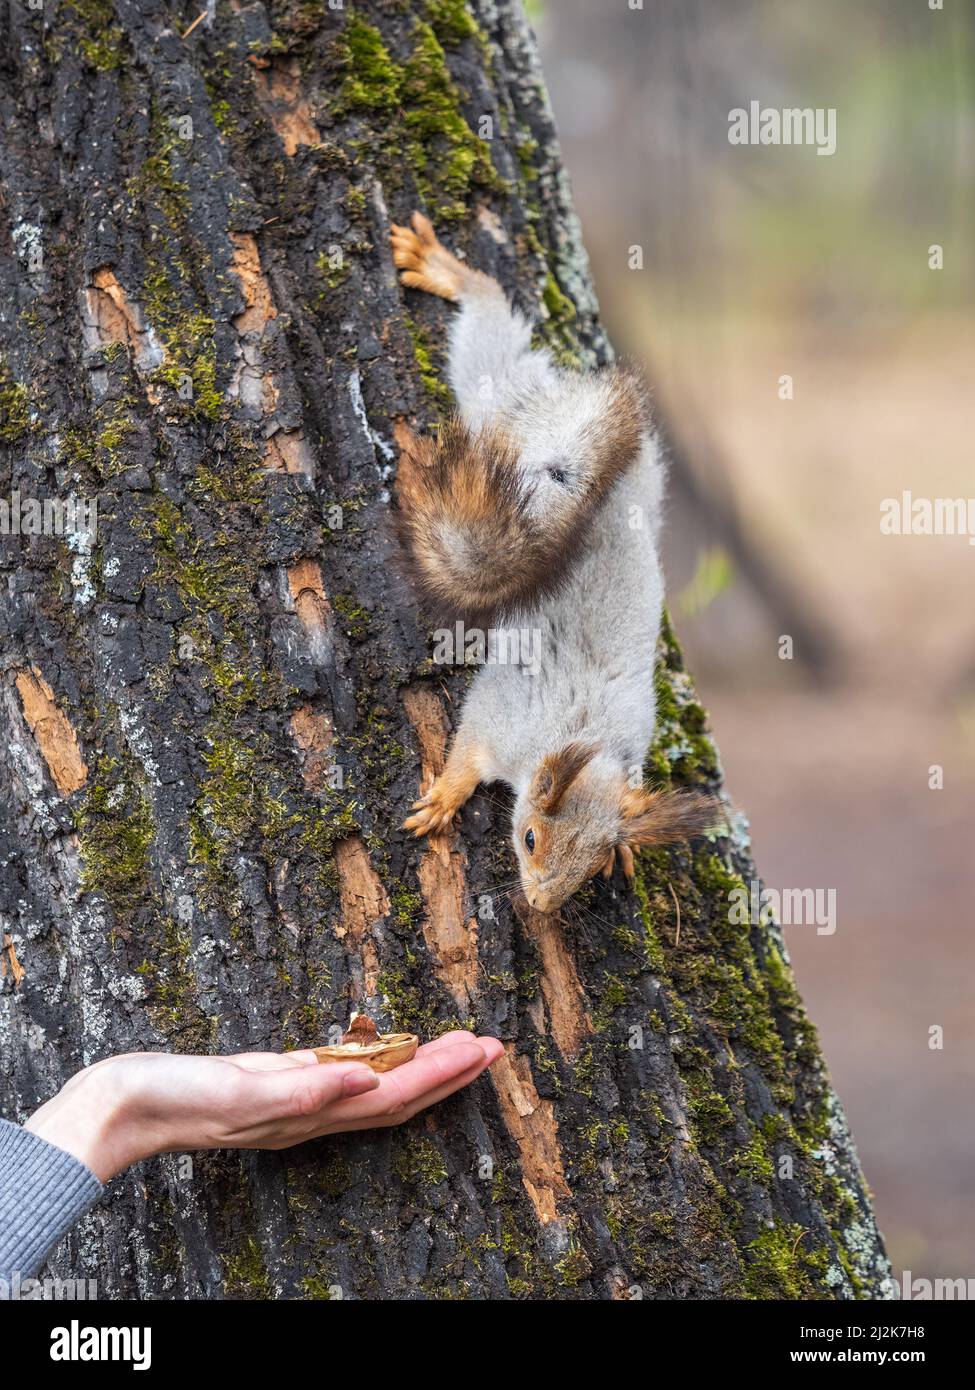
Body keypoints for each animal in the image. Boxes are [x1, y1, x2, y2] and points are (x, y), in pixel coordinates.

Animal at [390, 212, 721, 913]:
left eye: (591, 865)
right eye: (531, 838)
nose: (542, 906)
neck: (586, 740)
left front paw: (629, 845)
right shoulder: (504, 715)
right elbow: (468, 748)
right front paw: (447, 796)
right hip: (499, 400)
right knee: (491, 341)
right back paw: (448, 271)